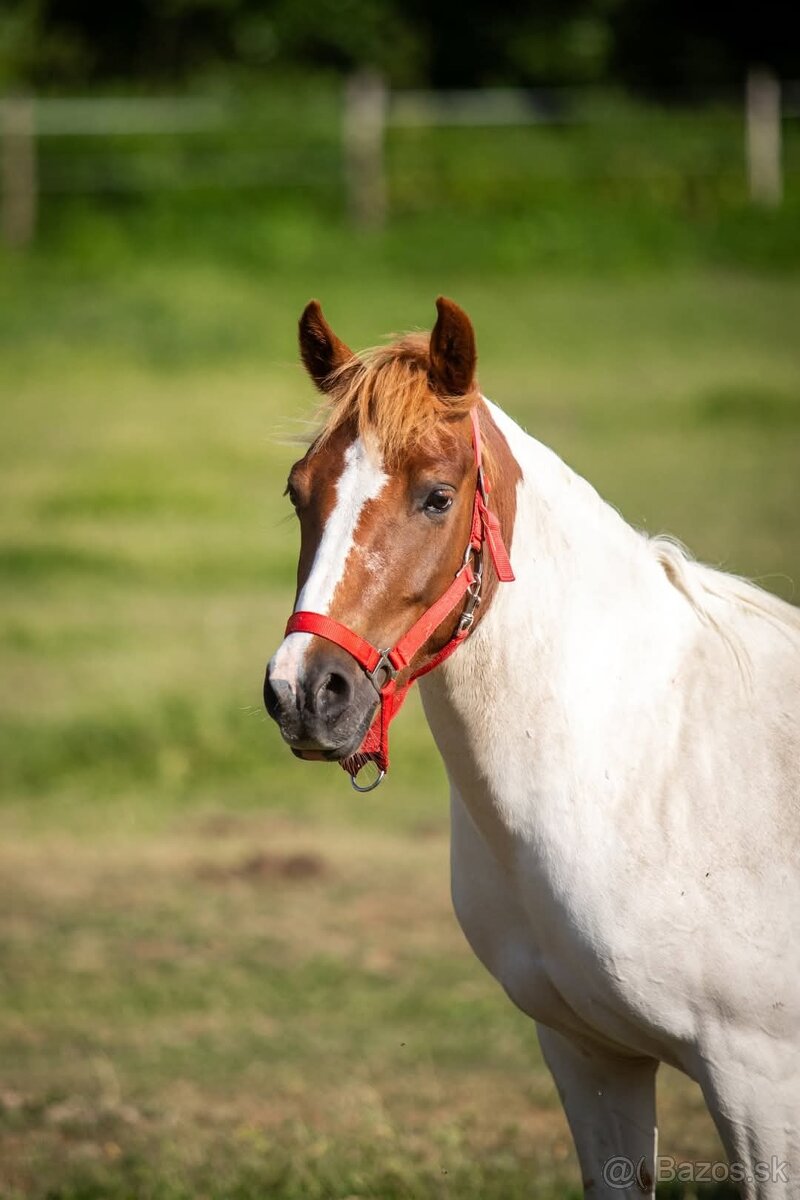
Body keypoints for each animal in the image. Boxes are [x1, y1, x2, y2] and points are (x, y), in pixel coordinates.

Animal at [264, 296, 800, 1198]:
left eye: (437, 497)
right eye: (299, 492)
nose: (304, 692)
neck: (642, 766)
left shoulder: (759, 1083)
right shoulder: (590, 1055)